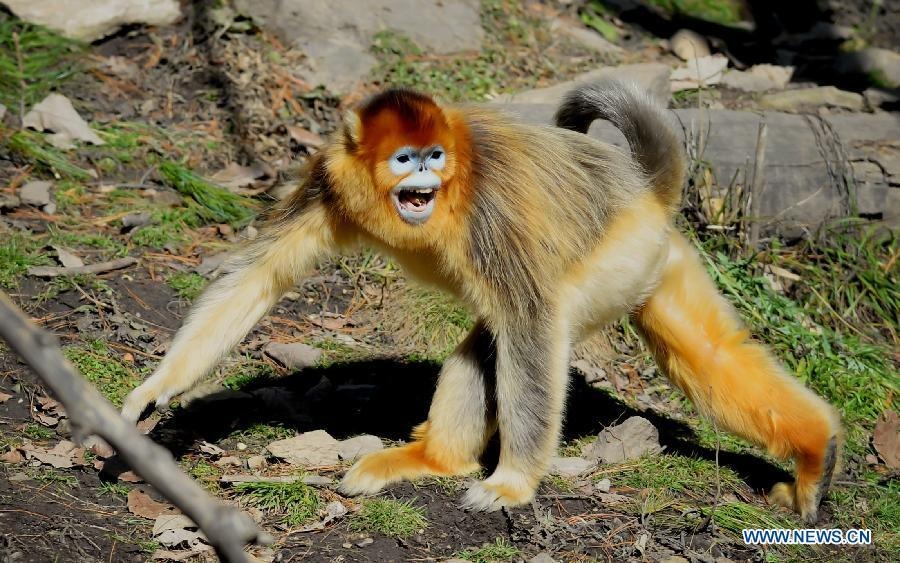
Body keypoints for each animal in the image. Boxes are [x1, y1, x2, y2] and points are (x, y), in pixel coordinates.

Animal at [121, 80, 841, 523]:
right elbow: (259, 276)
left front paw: (516, 483)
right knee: (706, 354)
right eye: (404, 157)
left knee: (518, 337)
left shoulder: (489, 204)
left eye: (435, 155)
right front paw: (158, 389)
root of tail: (642, 189)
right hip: (653, 267)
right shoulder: (331, 179)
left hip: (617, 260)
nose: (423, 174)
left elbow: (528, 318)